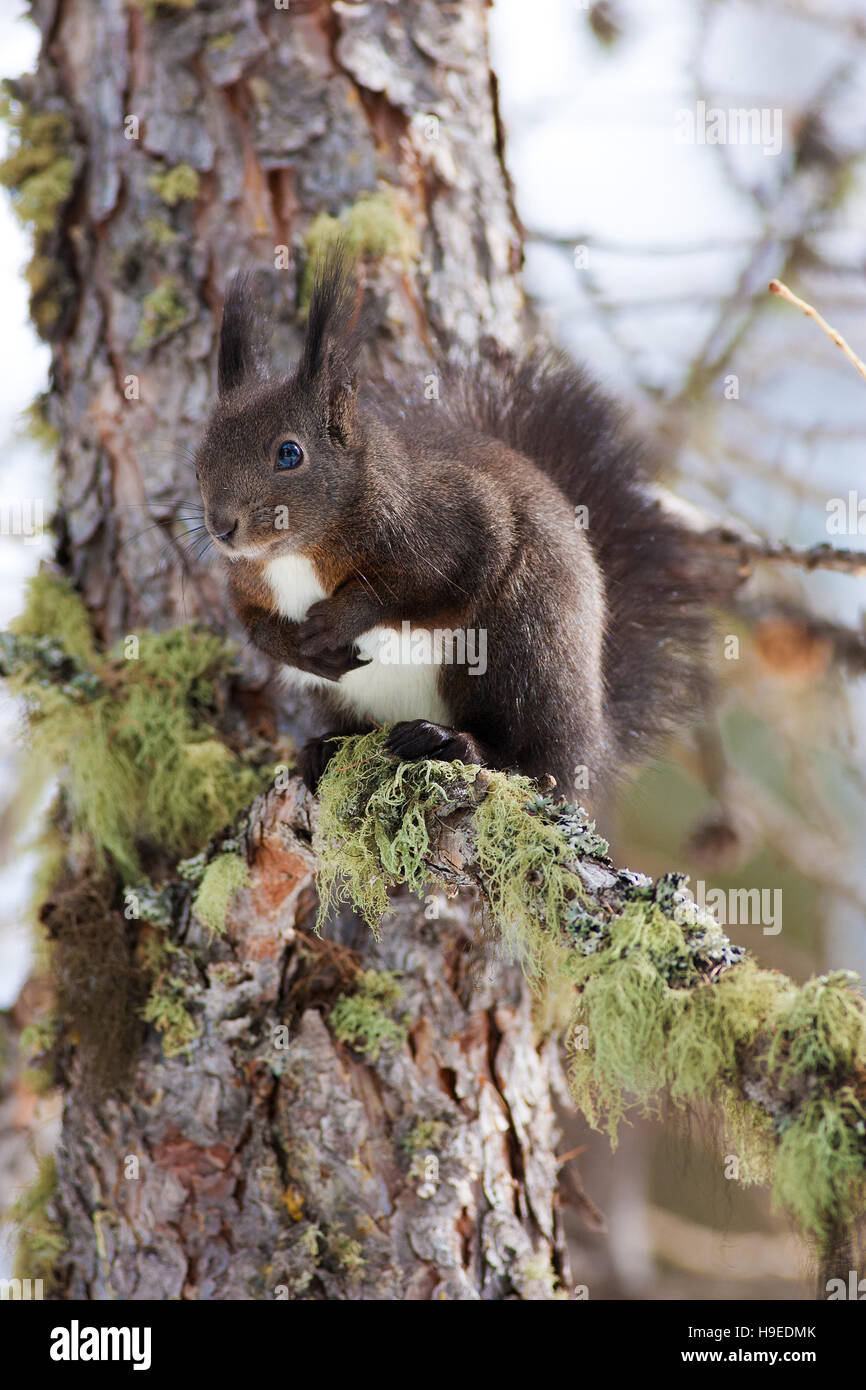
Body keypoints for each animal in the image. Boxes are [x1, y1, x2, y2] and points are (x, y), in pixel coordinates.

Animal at [194, 251, 709, 808]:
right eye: (199, 460)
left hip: (521, 647)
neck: (297, 551)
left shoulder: (459, 521)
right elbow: (253, 626)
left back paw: (450, 741)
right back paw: (325, 748)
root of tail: (594, 739)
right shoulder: (246, 585)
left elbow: (425, 585)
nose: (222, 528)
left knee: (525, 755)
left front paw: (338, 619)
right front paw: (291, 645)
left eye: (289, 453)